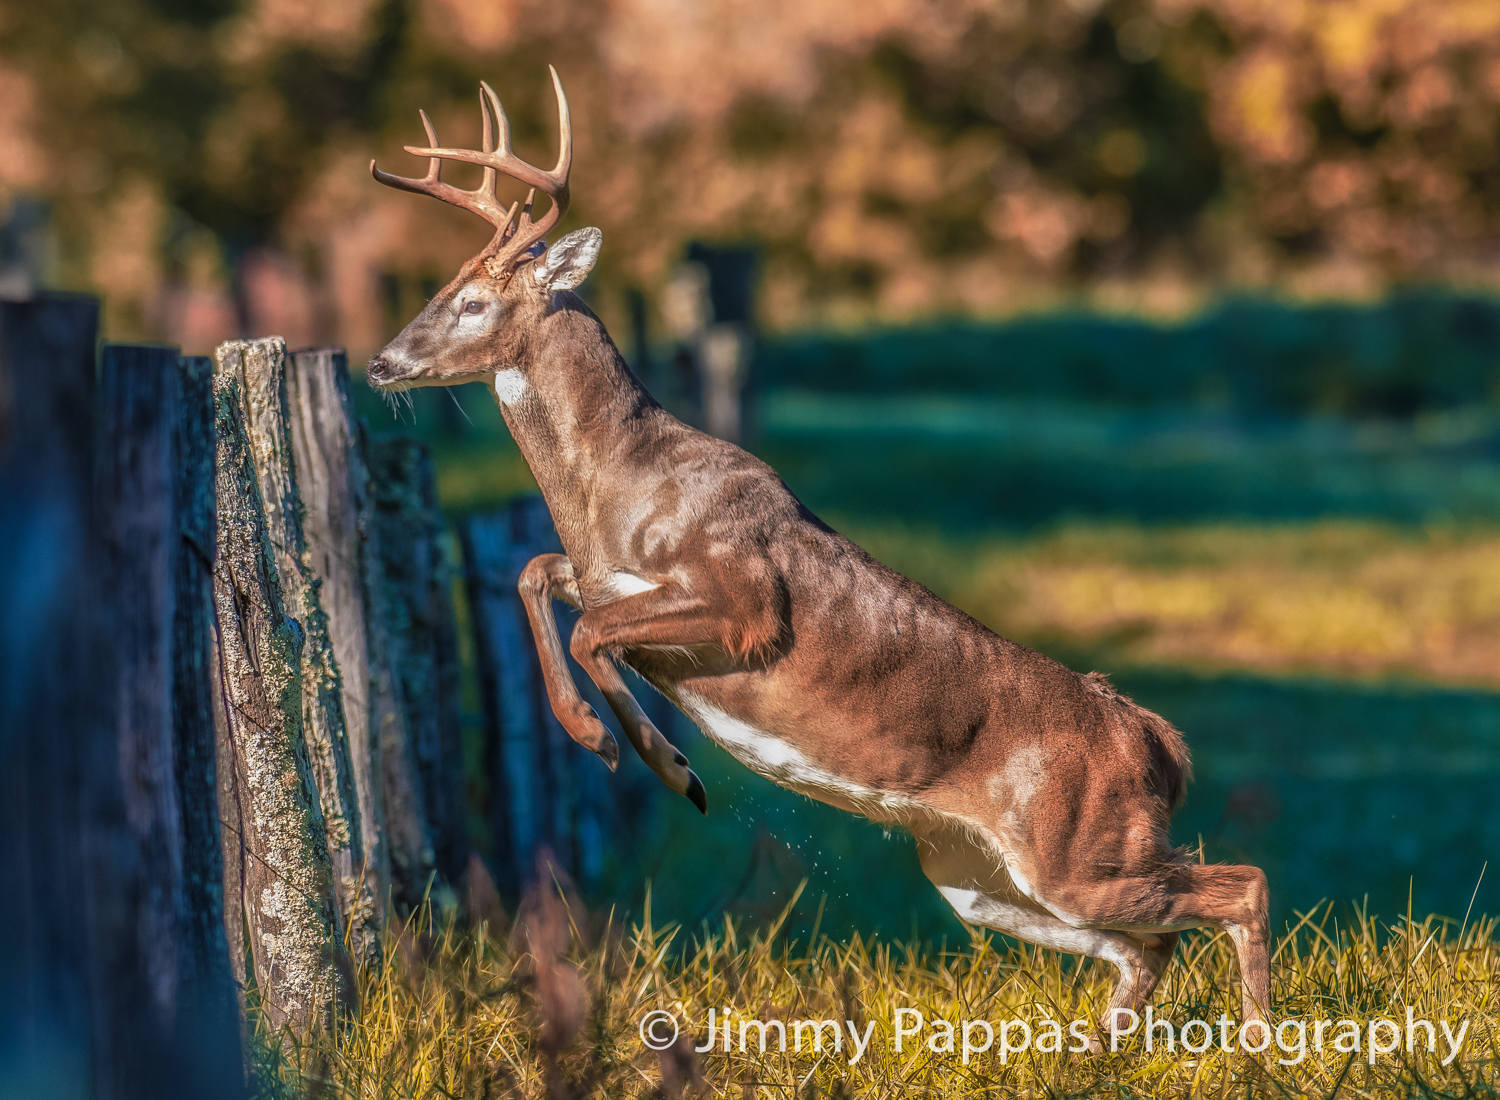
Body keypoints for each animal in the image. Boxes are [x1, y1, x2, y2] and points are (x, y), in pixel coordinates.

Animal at [366, 69, 1271, 1048]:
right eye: (443, 286)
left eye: (473, 300)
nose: (380, 363)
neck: (612, 489)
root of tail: (1158, 744)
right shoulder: (603, 572)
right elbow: (542, 580)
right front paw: (647, 754)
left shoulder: (745, 597)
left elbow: (591, 630)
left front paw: (642, 756)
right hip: (976, 876)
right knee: (1147, 945)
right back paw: (1099, 1050)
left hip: (1080, 848)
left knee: (1239, 888)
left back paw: (1261, 1045)